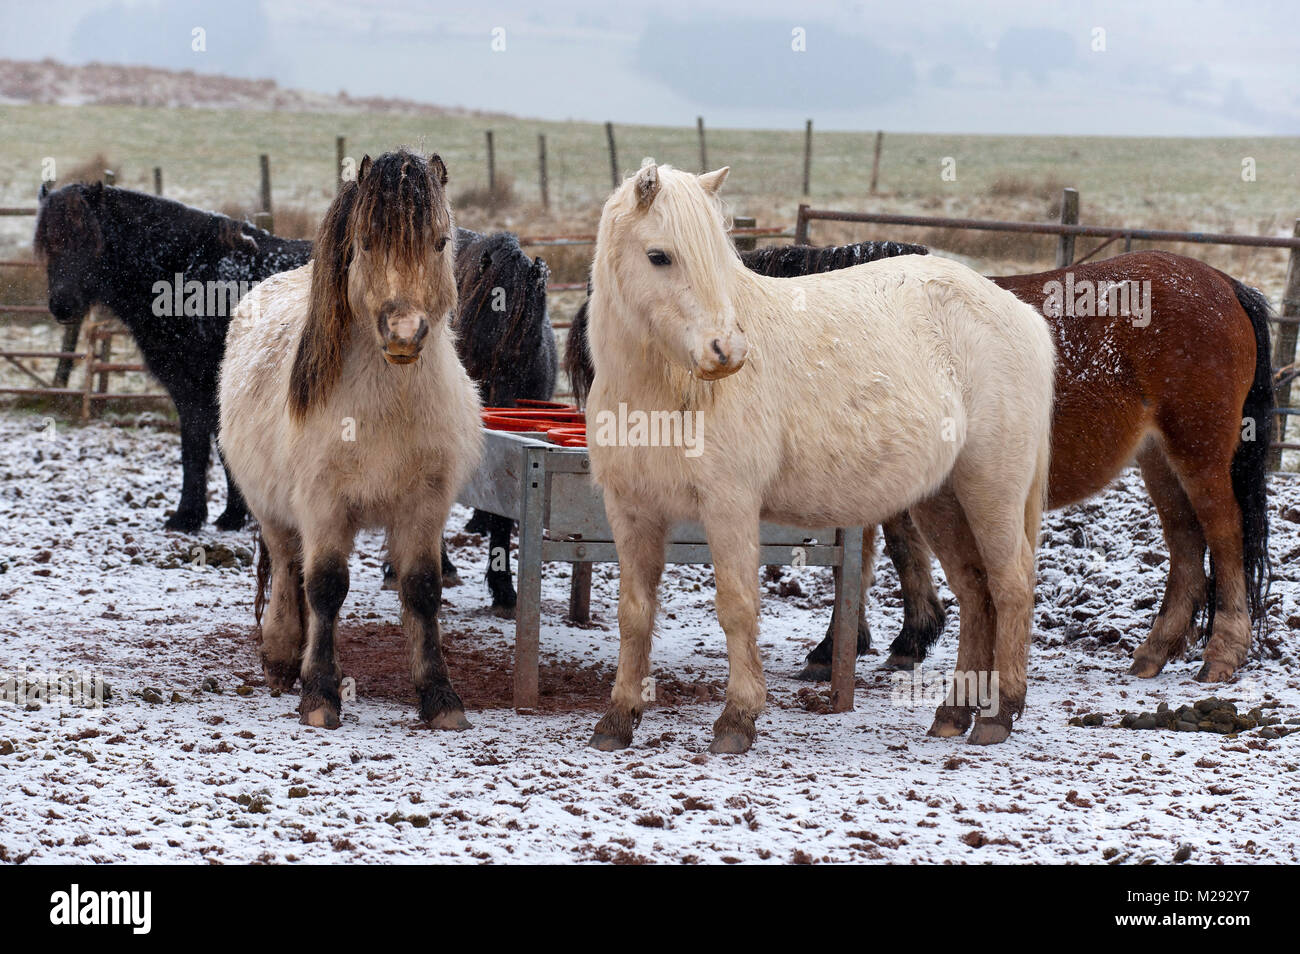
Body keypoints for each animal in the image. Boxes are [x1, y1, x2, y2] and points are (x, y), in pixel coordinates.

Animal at [34, 181, 313, 532]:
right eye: (47, 242)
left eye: (89, 239)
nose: (63, 306)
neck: (184, 275)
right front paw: (229, 515)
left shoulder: (194, 388)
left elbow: (195, 448)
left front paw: (190, 516)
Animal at [218, 150, 482, 730]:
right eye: (364, 242)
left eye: (440, 241)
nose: (404, 333)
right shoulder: (324, 504)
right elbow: (325, 587)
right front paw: (319, 694)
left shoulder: (425, 506)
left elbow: (422, 590)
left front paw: (440, 697)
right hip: (272, 509)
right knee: (288, 564)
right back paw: (281, 657)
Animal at [584, 162, 1055, 752]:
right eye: (659, 255)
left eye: (719, 255)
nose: (727, 353)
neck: (663, 388)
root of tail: (1023, 314)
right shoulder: (630, 510)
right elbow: (634, 614)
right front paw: (618, 717)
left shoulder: (729, 505)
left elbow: (737, 607)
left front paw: (737, 719)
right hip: (941, 500)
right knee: (975, 593)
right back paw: (953, 713)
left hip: (991, 489)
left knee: (1011, 584)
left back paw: (999, 713)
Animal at [792, 251, 1274, 685]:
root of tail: (1223, 283)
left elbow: (870, 558)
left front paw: (846, 648)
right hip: (1159, 458)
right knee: (1186, 539)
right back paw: (1155, 651)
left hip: (1199, 452)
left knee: (1224, 533)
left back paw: (1223, 652)